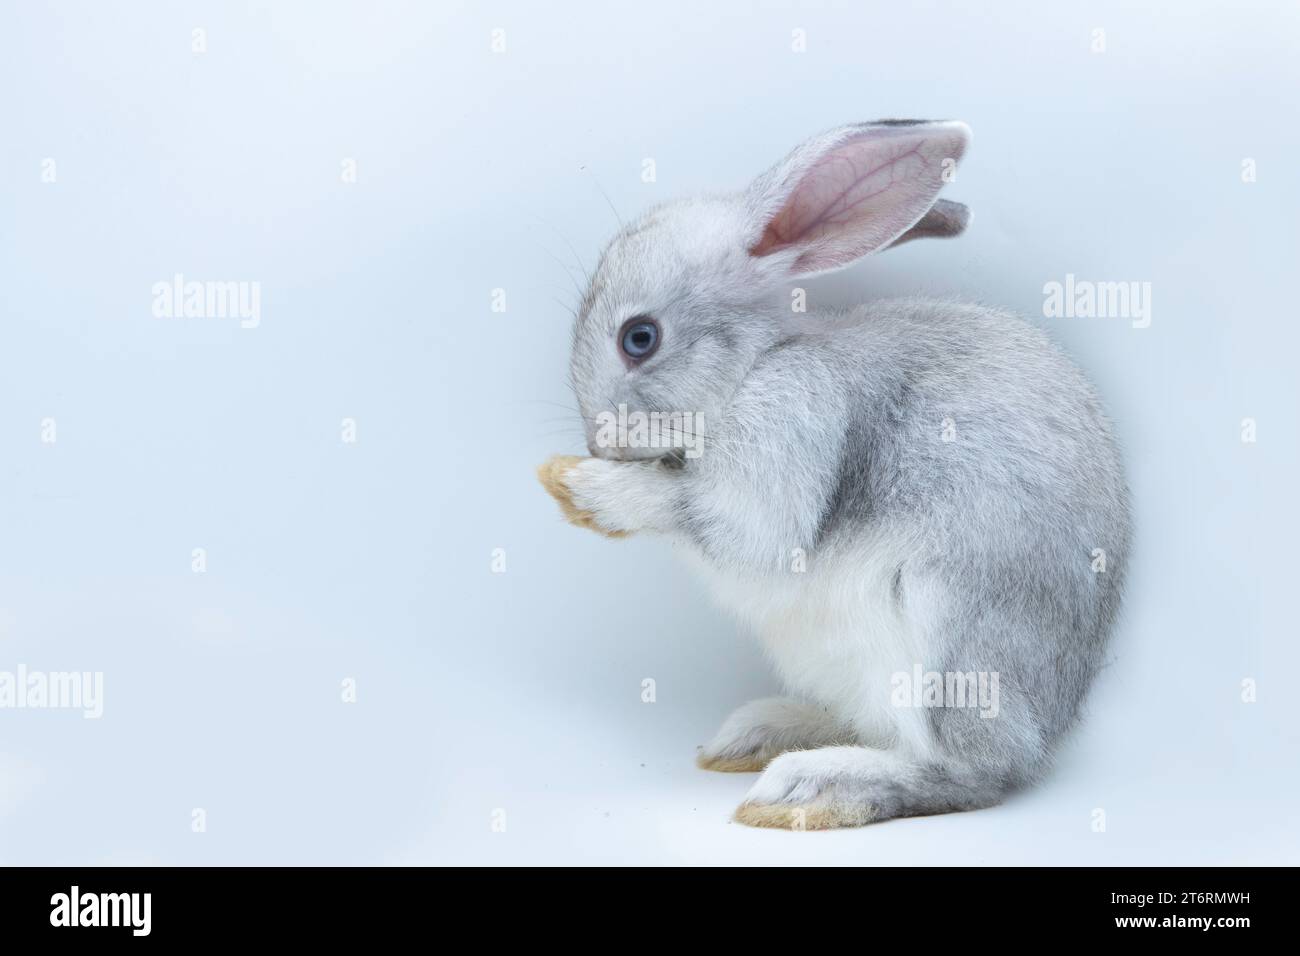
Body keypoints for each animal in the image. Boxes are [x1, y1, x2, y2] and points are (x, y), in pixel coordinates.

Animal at [538, 120, 1131, 830]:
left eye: (639, 337)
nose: (597, 439)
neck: (756, 364)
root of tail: (1050, 730)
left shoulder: (787, 430)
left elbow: (713, 520)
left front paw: (578, 486)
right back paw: (753, 738)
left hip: (947, 643)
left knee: (968, 774)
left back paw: (806, 788)